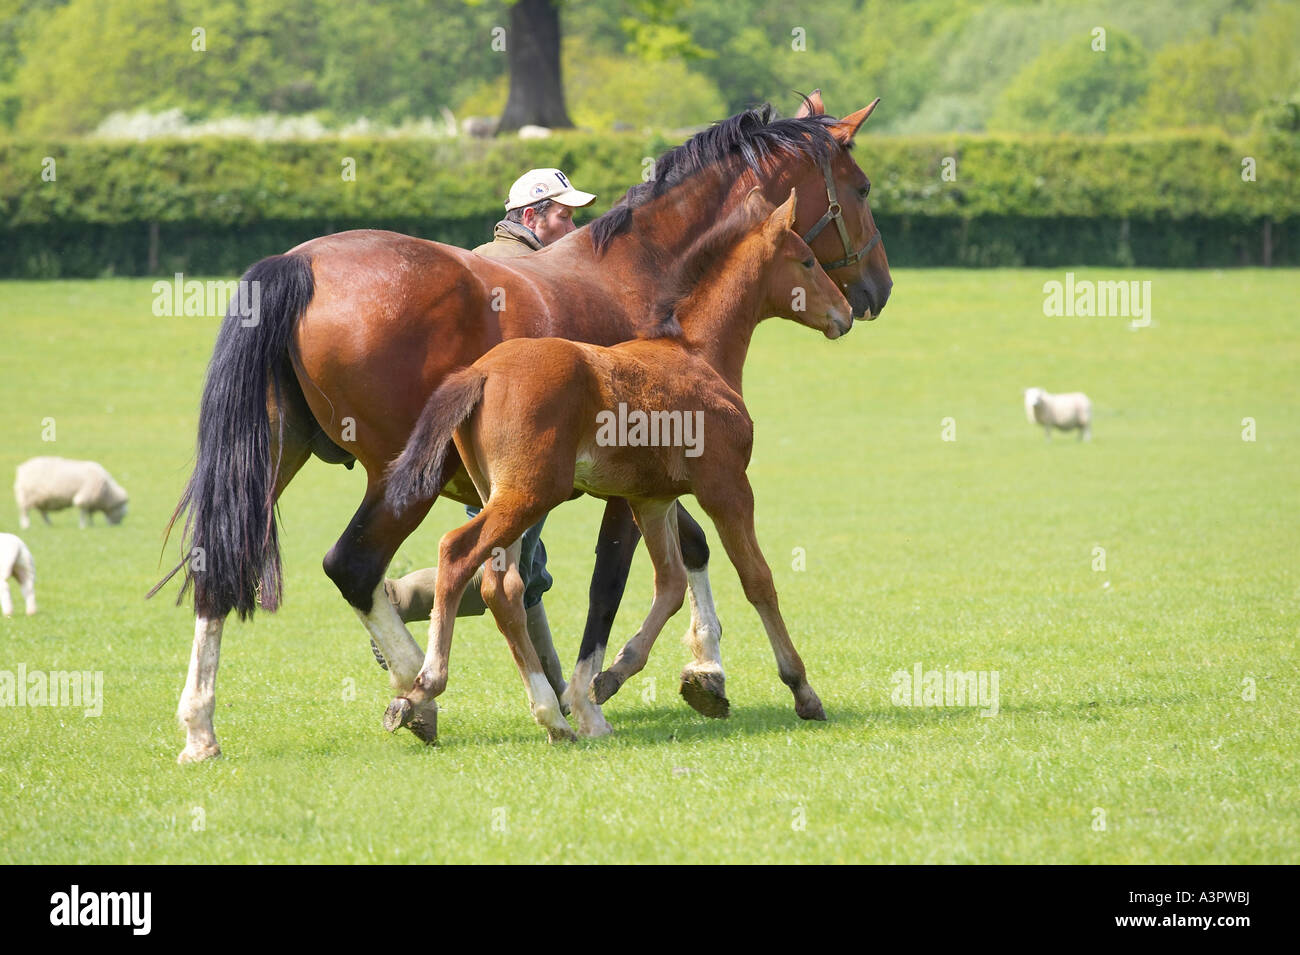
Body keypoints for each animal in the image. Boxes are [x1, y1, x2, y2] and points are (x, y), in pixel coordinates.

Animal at [382, 189, 850, 742]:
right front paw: (802, 689)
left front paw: (608, 680)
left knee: (503, 586)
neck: (698, 355)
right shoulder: (728, 488)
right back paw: (426, 687)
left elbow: (670, 585)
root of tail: (482, 371)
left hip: (502, 494)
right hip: (528, 494)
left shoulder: (652, 500)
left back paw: (551, 716)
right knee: (457, 555)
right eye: (807, 260)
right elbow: (757, 579)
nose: (846, 312)